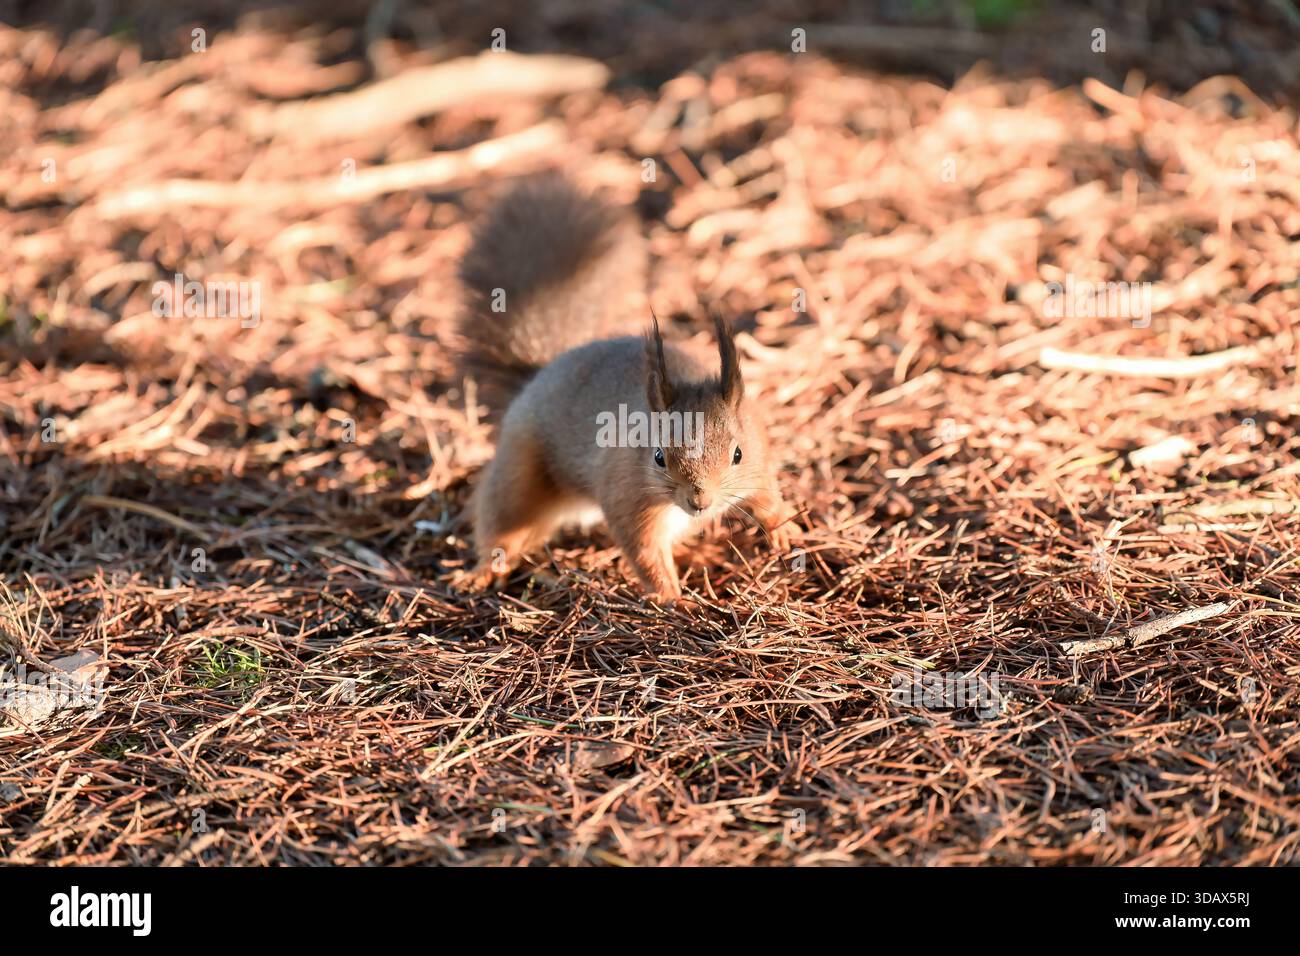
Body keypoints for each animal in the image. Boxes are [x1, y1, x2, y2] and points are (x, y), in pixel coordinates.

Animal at [452, 174, 794, 605]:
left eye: (737, 454)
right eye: (659, 457)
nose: (699, 500)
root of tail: (538, 373)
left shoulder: (759, 457)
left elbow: (767, 495)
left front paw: (783, 529)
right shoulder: (627, 496)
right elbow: (645, 551)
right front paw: (671, 598)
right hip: (519, 475)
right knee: (502, 524)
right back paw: (482, 571)